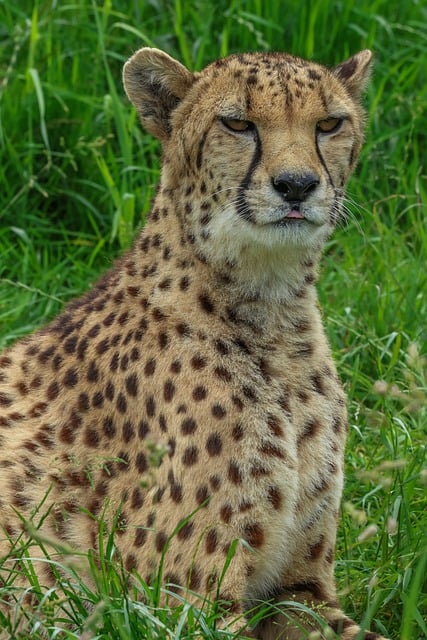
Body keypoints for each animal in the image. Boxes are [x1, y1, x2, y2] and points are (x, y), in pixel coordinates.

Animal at [0, 46, 389, 639]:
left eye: (329, 124)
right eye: (238, 124)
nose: (297, 185)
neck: (273, 313)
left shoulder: (301, 592)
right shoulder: (182, 604)